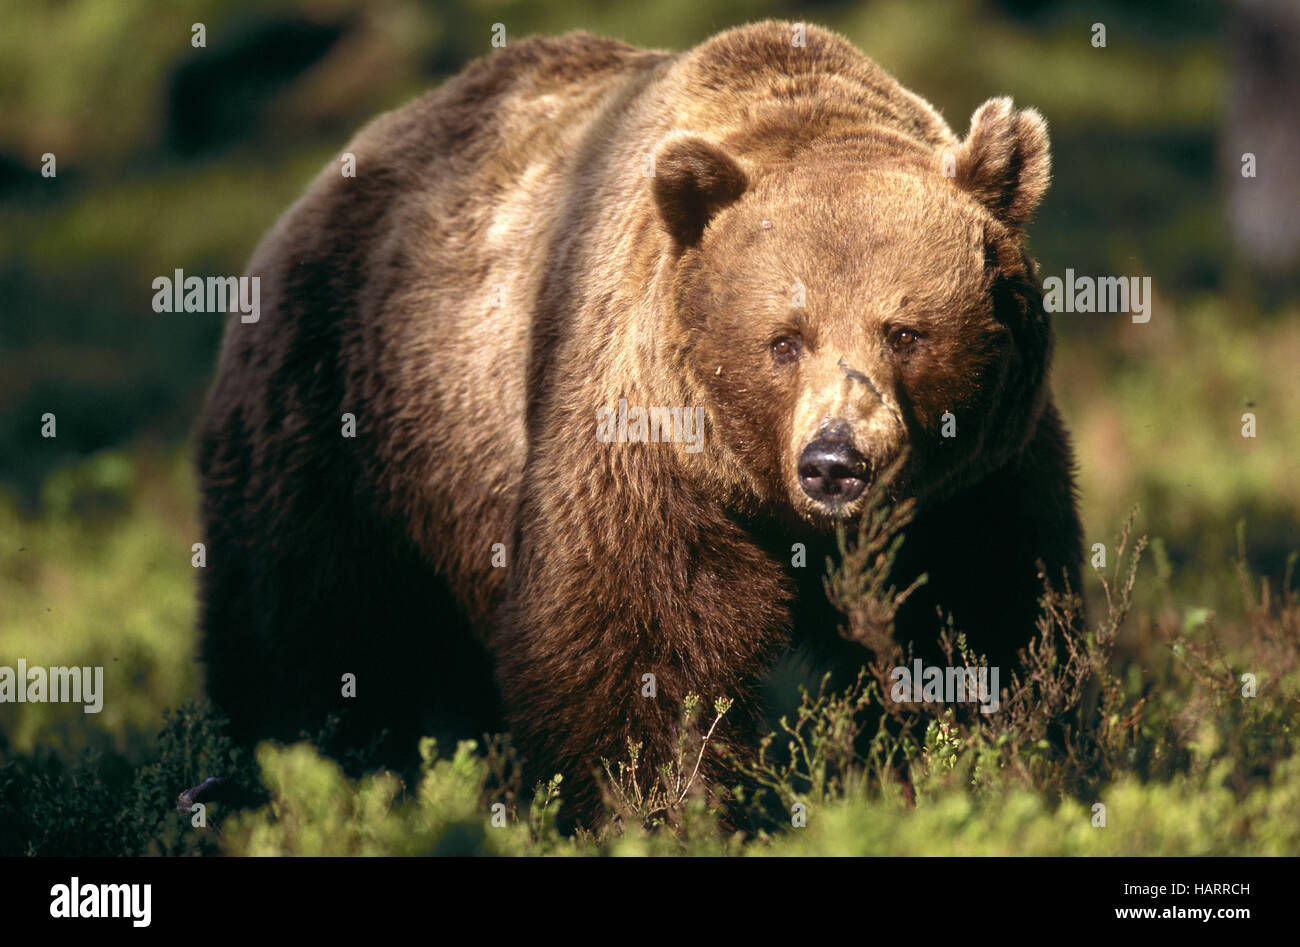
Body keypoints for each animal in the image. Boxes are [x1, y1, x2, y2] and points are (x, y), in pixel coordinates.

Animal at [195, 20, 1082, 827]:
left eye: (905, 331)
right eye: (783, 340)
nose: (835, 461)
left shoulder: (975, 486)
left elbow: (992, 629)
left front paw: (985, 767)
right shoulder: (644, 447)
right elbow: (634, 649)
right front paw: (663, 808)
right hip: (348, 424)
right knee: (304, 635)